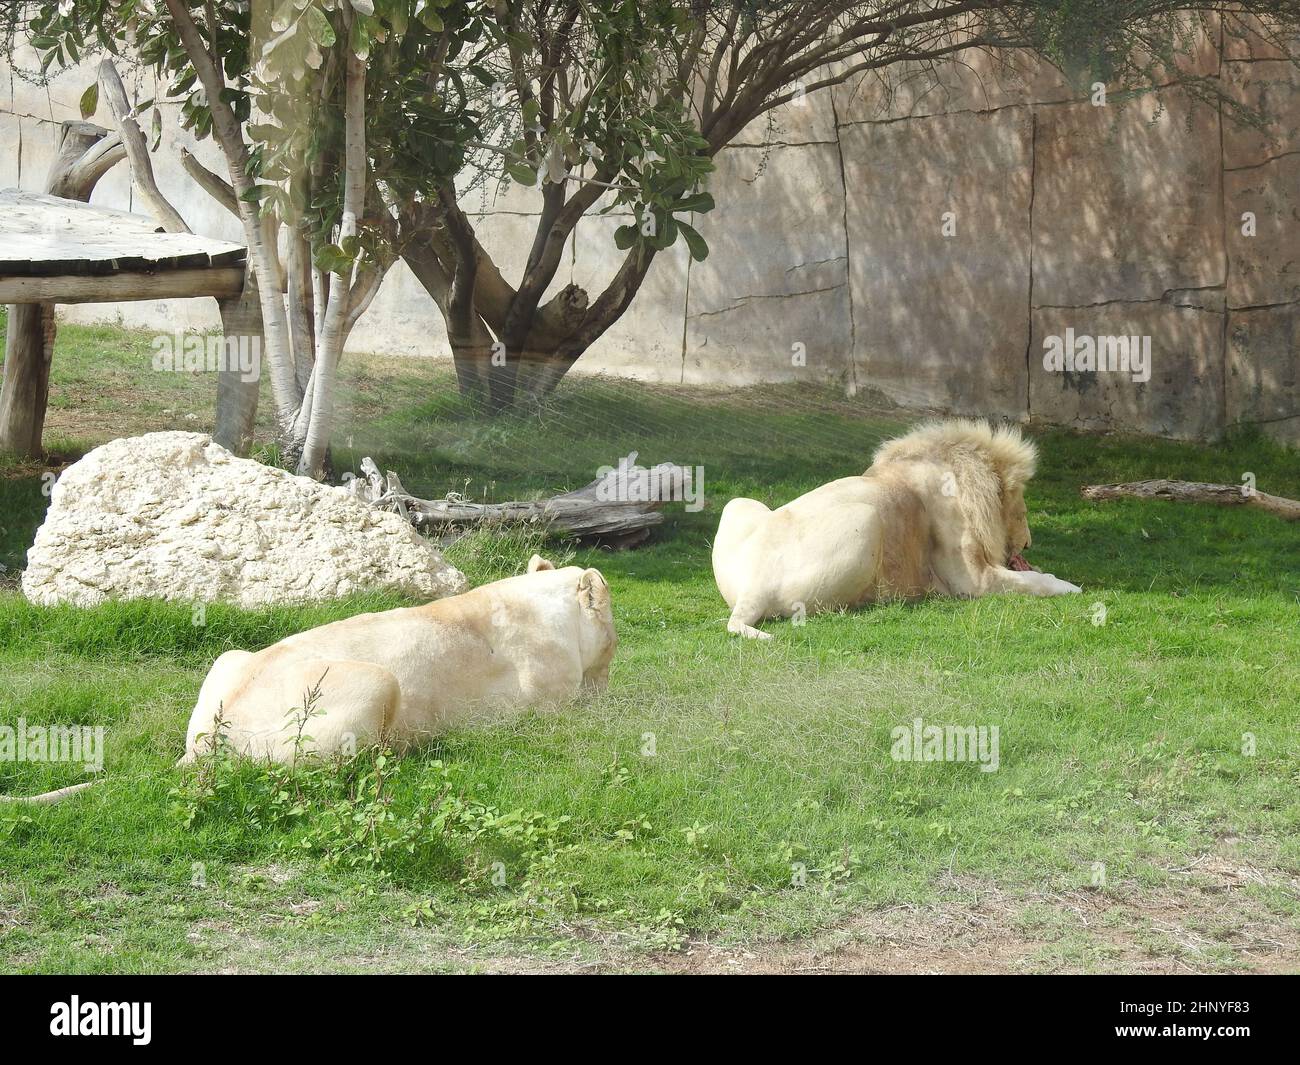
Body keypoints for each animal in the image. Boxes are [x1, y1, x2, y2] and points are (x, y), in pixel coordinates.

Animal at [712, 419, 1082, 638]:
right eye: (1022, 510)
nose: (1028, 543)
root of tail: (752, 591)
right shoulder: (971, 581)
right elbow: (1032, 582)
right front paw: (1070, 586)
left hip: (737, 503)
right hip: (867, 519)